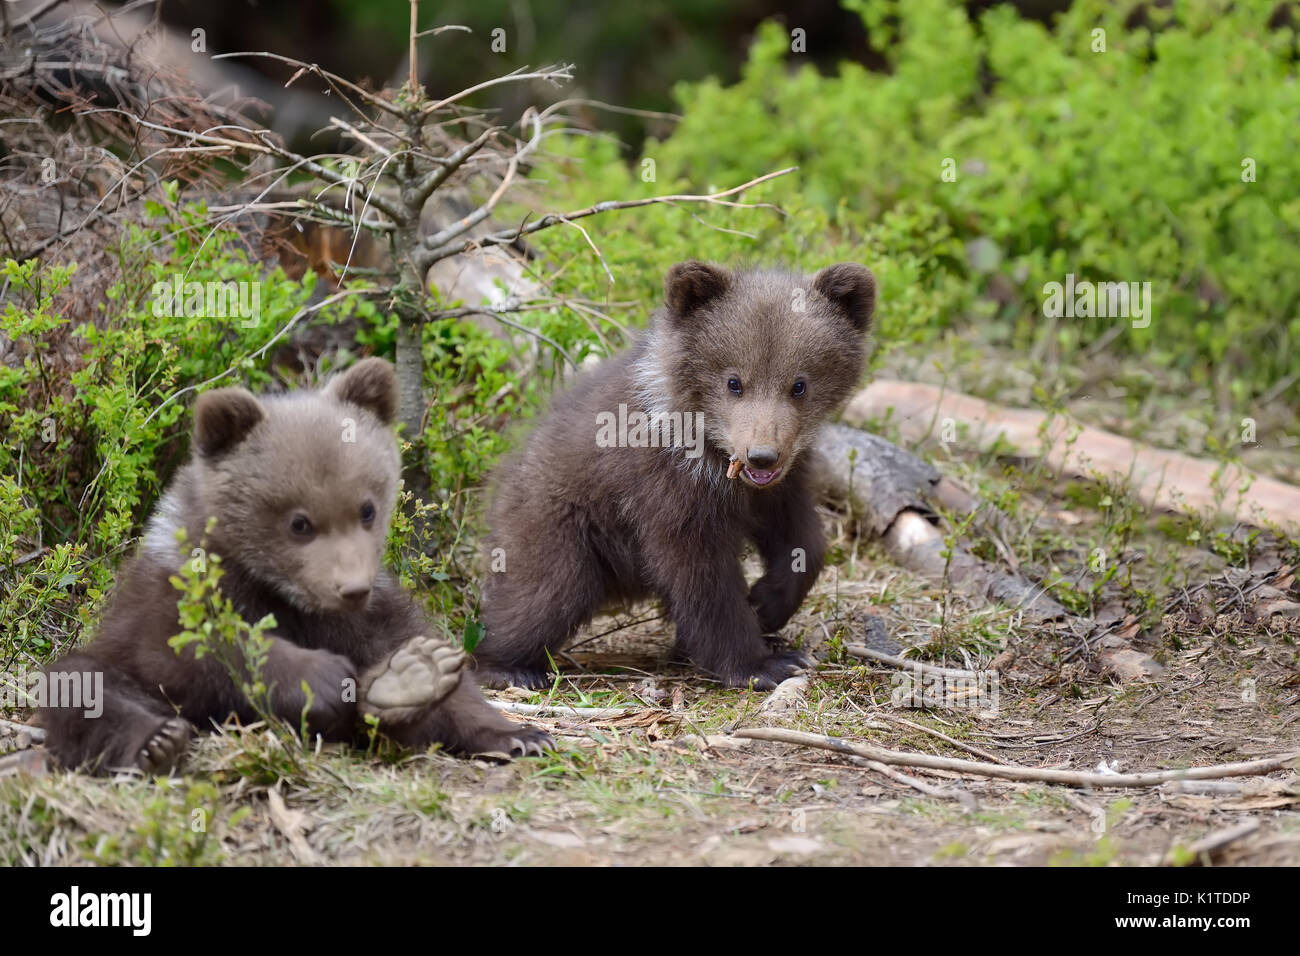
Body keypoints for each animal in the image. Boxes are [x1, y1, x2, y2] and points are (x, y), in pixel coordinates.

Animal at [39, 358, 552, 774]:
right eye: (299, 522)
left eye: (367, 508)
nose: (351, 588)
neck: (284, 591)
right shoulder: (180, 593)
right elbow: (194, 648)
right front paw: (322, 676)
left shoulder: (371, 612)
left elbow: (424, 654)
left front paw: (510, 726)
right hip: (111, 658)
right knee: (83, 685)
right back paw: (155, 742)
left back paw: (400, 687)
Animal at [472, 260, 876, 690]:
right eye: (734, 382)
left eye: (799, 384)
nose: (762, 456)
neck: (713, 453)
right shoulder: (667, 486)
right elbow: (699, 574)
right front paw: (761, 663)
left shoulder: (783, 482)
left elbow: (801, 539)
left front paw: (767, 602)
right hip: (561, 523)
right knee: (546, 592)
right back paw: (508, 665)